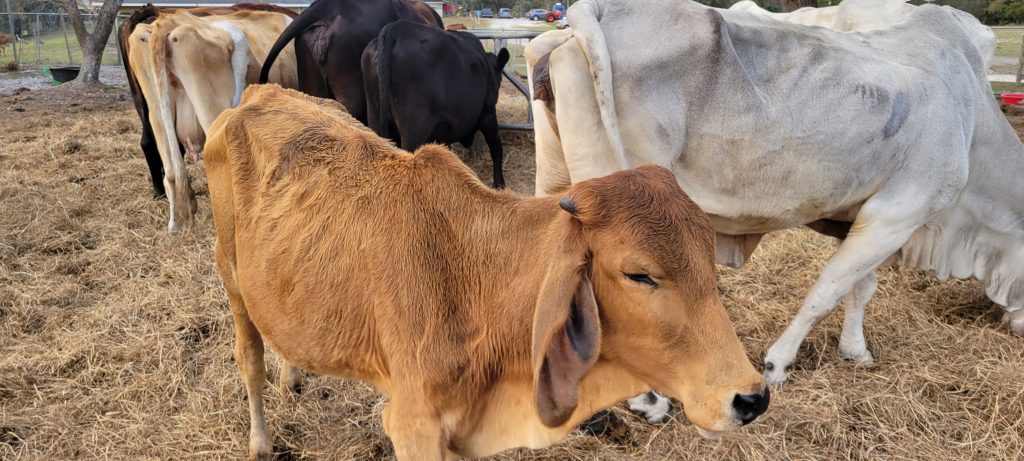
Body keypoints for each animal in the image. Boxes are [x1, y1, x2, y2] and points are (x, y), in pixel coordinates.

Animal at [204, 84, 769, 460]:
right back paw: (260, 442)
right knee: (248, 356)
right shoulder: (412, 426)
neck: (478, 285)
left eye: (707, 258)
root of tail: (258, 91)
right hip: (230, 274)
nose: (752, 397)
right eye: (639, 275)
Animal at [362, 20, 510, 188]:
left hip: (374, 113)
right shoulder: (488, 112)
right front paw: (499, 183)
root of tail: (397, 27)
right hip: (414, 126)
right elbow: (496, 148)